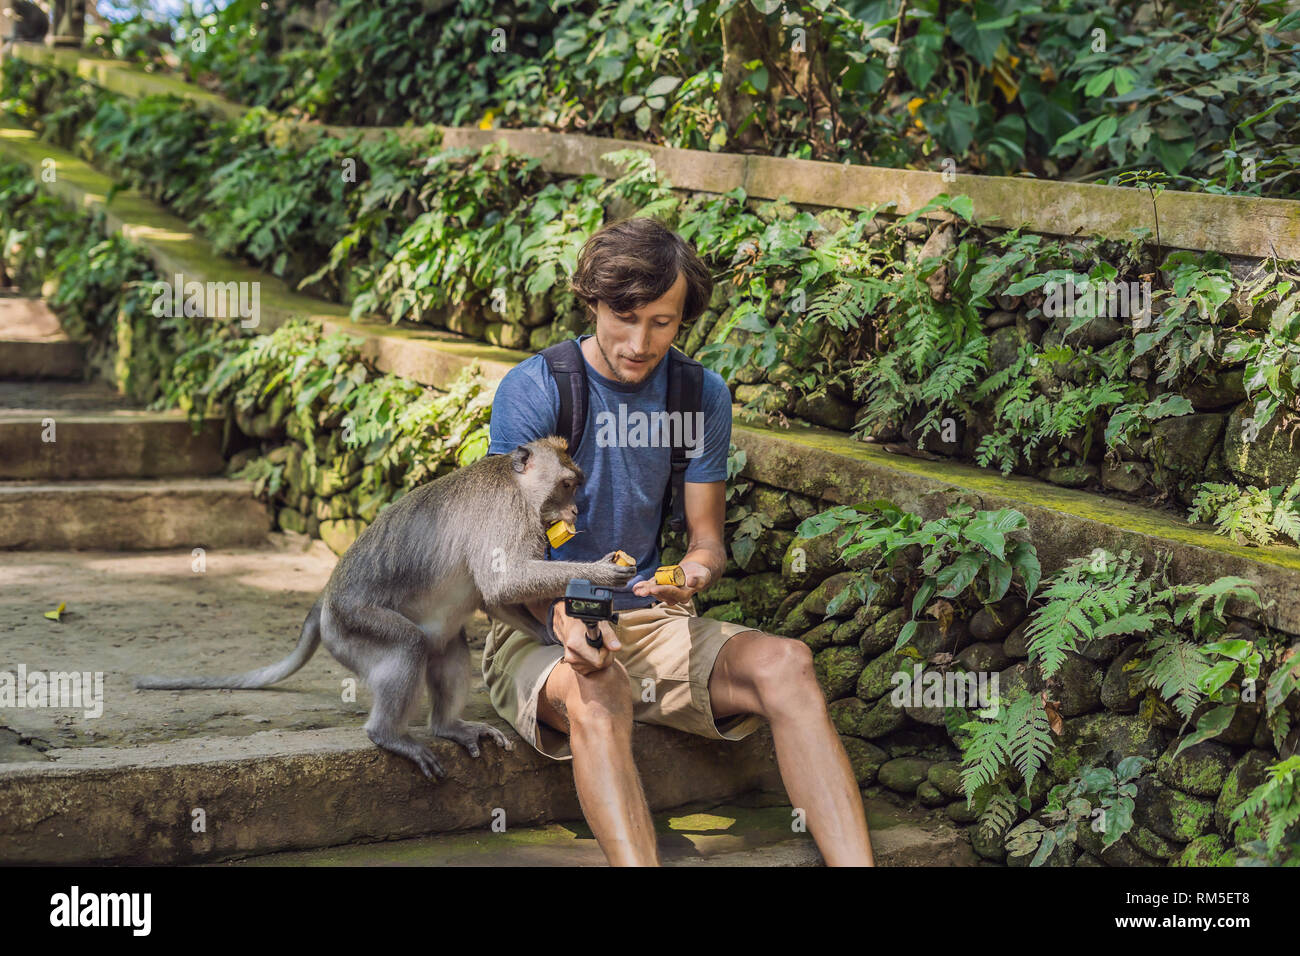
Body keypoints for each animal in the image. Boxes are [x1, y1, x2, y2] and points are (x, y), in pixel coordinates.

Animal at [134, 435, 634, 779]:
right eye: (566, 486)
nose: (574, 513)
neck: (515, 482)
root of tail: (325, 597)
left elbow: (492, 599)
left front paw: (554, 632)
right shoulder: (507, 512)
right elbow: (501, 581)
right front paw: (601, 573)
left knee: (449, 647)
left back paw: (448, 726)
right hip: (351, 628)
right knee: (407, 646)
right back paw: (389, 735)